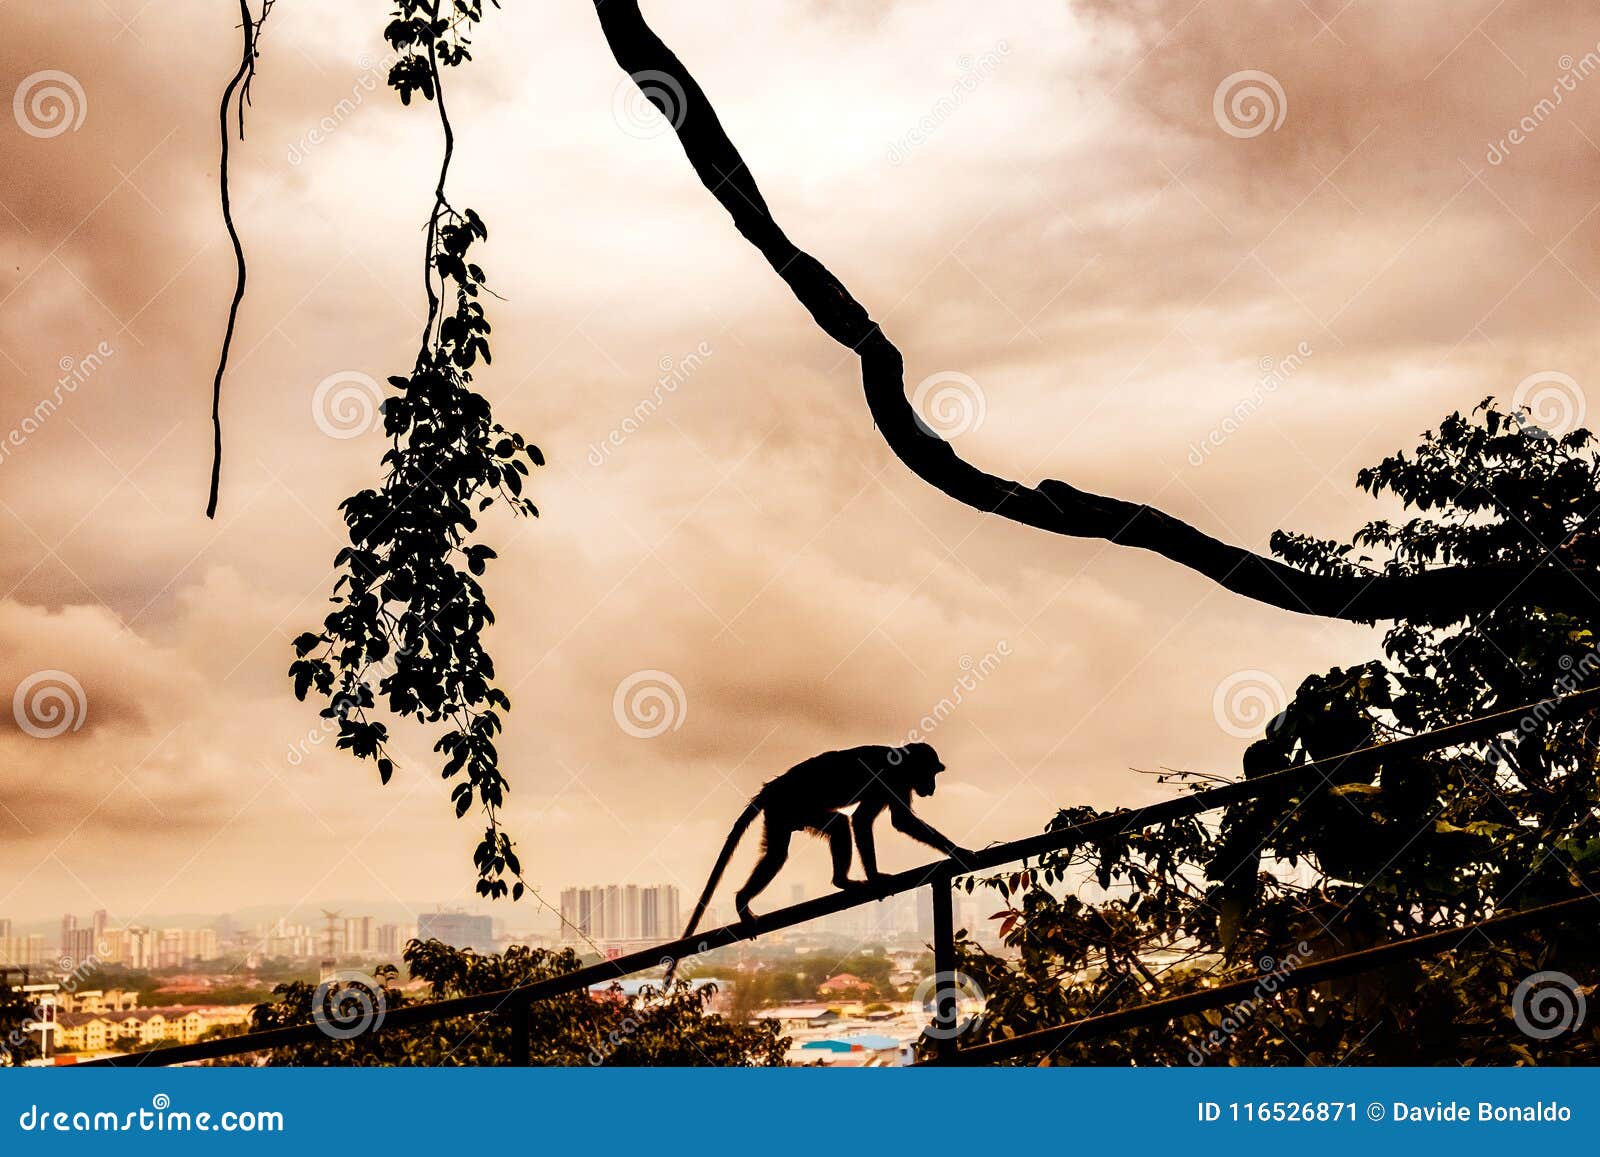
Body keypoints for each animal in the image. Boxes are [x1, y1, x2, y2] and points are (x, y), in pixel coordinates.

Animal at [667, 743, 969, 980]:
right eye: (932, 773)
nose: (932, 788)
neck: (901, 763)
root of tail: (773, 786)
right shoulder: (890, 780)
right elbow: (872, 821)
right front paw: (876, 877)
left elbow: (890, 820)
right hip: (788, 804)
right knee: (827, 831)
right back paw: (747, 900)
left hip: (786, 813)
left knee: (788, 847)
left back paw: (836, 881)